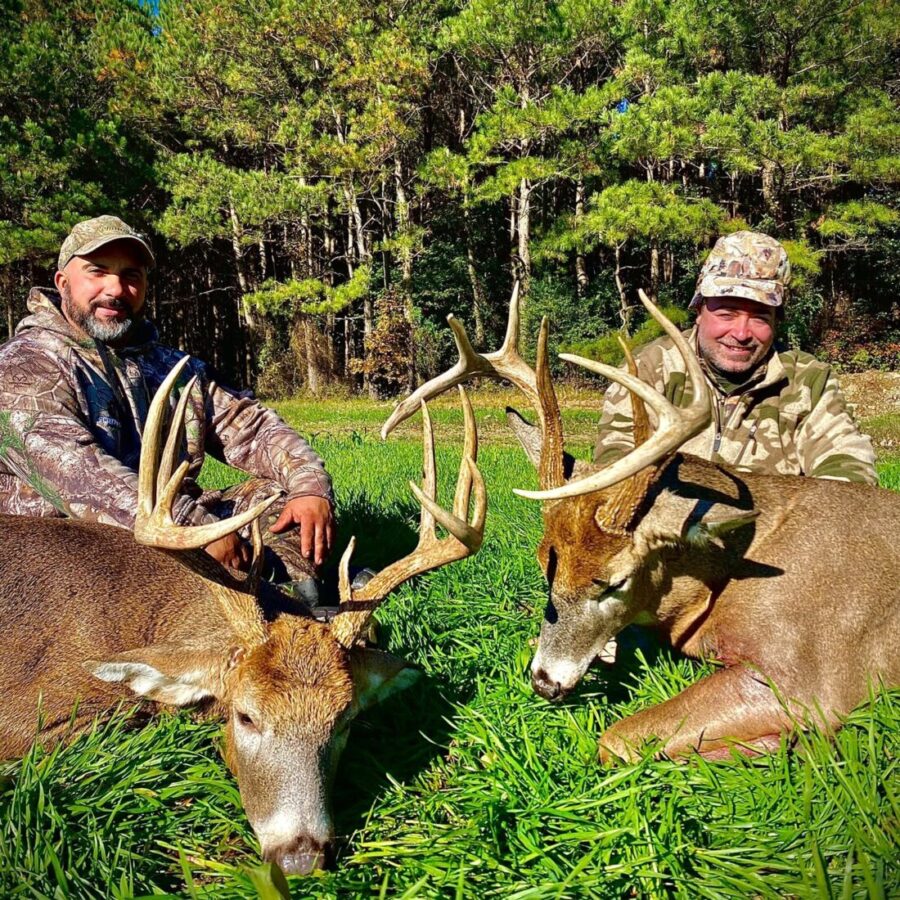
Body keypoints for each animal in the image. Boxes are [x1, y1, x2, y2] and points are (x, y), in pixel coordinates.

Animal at [381, 285, 899, 762]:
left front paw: (778, 746)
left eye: (615, 581)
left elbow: (615, 739)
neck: (727, 575)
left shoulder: (807, 672)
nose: (545, 682)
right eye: (545, 563)